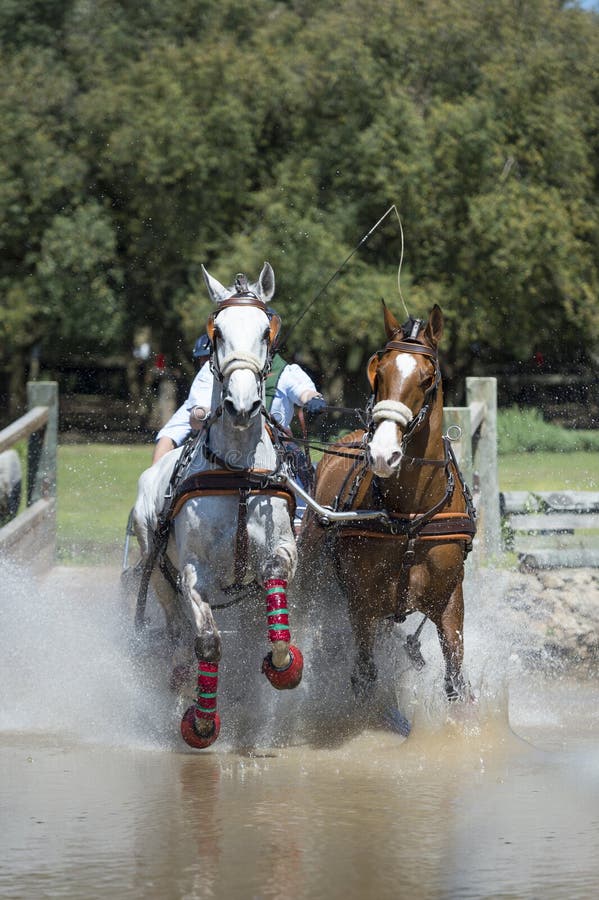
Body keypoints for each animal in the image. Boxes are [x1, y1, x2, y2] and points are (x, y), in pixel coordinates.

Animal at [131, 262, 303, 749]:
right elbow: (207, 642)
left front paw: (283, 664)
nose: (242, 405)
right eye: (218, 330)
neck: (238, 472)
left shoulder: (284, 547)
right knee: (176, 639)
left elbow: (274, 578)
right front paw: (201, 723)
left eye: (266, 330)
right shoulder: (194, 576)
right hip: (157, 575)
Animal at [300, 302, 476, 706]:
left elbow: (456, 679)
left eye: (427, 378)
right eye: (377, 373)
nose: (382, 453)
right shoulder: (362, 604)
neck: (410, 516)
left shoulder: (450, 602)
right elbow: (364, 676)